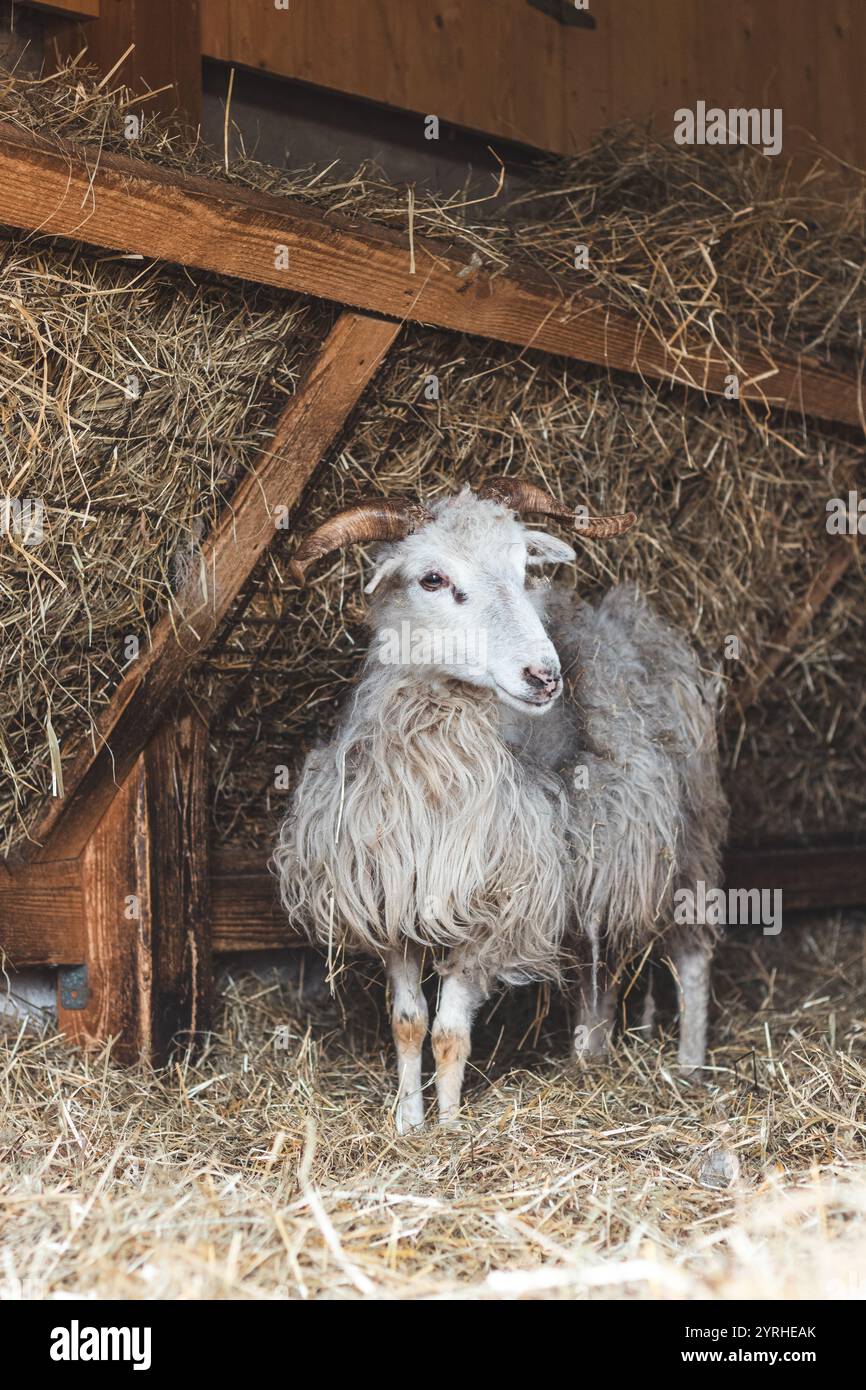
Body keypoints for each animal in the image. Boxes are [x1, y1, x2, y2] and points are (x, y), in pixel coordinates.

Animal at [274, 478, 726, 1126]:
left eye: (521, 569)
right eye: (432, 578)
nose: (544, 675)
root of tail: (623, 613)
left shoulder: (494, 912)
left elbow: (448, 1034)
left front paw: (449, 1126)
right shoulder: (393, 907)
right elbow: (408, 1024)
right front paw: (408, 1123)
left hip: (684, 843)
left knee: (691, 956)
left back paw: (689, 1068)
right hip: (596, 868)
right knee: (599, 967)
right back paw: (591, 1057)